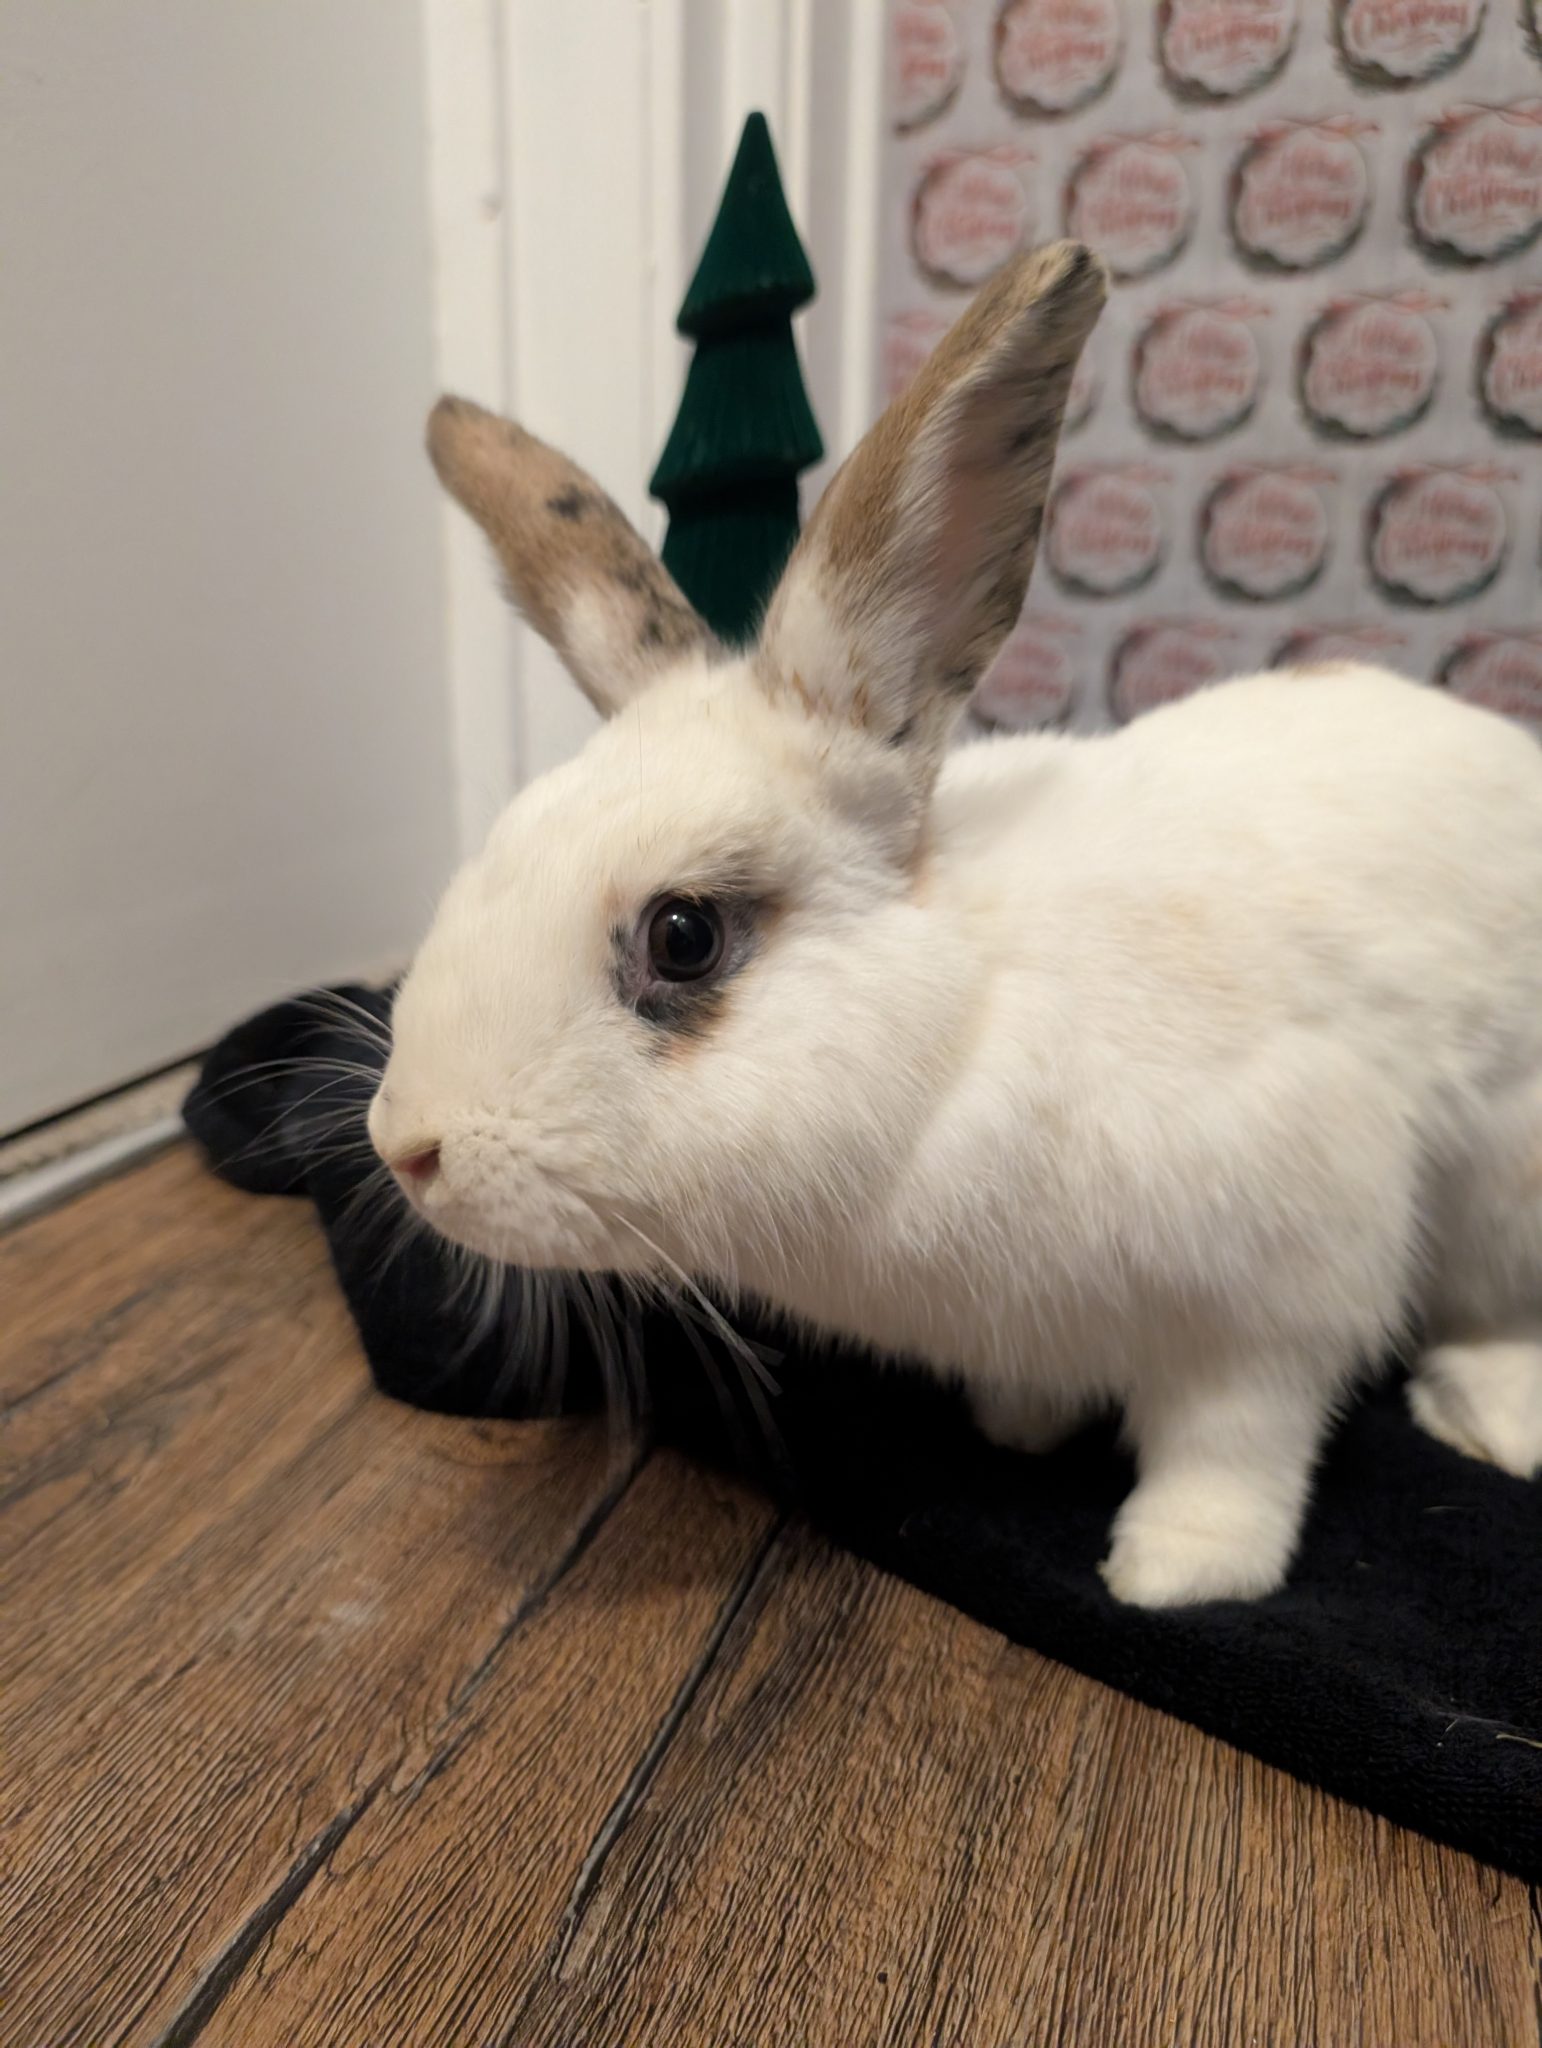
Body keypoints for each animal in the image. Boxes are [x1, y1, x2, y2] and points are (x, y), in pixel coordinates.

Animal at [370, 241, 1542, 1607]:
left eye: (683, 936)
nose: (405, 1145)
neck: (966, 1021)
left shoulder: (1281, 1289)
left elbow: (1236, 1445)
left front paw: (1172, 1571)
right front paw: (1021, 1426)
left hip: (1506, 1183)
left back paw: (1488, 1417)